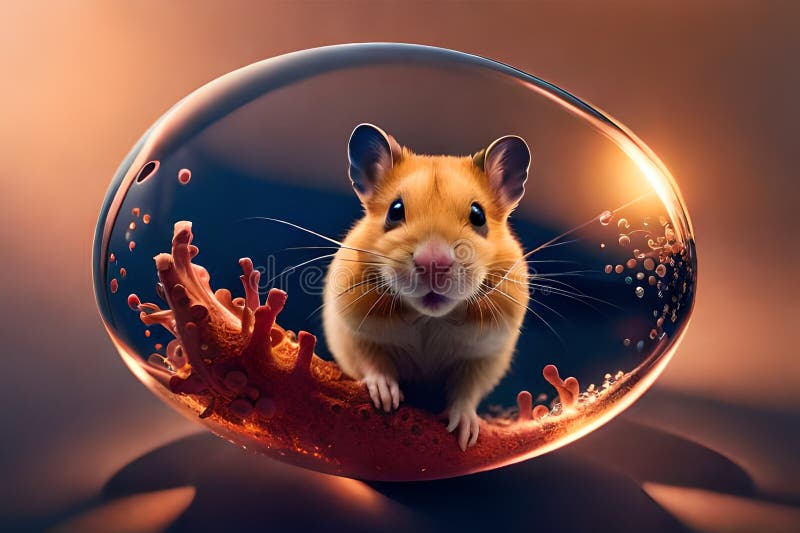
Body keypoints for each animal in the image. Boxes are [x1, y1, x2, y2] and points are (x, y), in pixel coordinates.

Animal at [323, 123, 531, 450]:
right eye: (395, 211)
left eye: (478, 215)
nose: (433, 263)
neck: (429, 319)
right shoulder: (355, 332)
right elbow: (373, 363)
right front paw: (387, 400)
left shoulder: (486, 354)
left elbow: (466, 391)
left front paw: (464, 434)